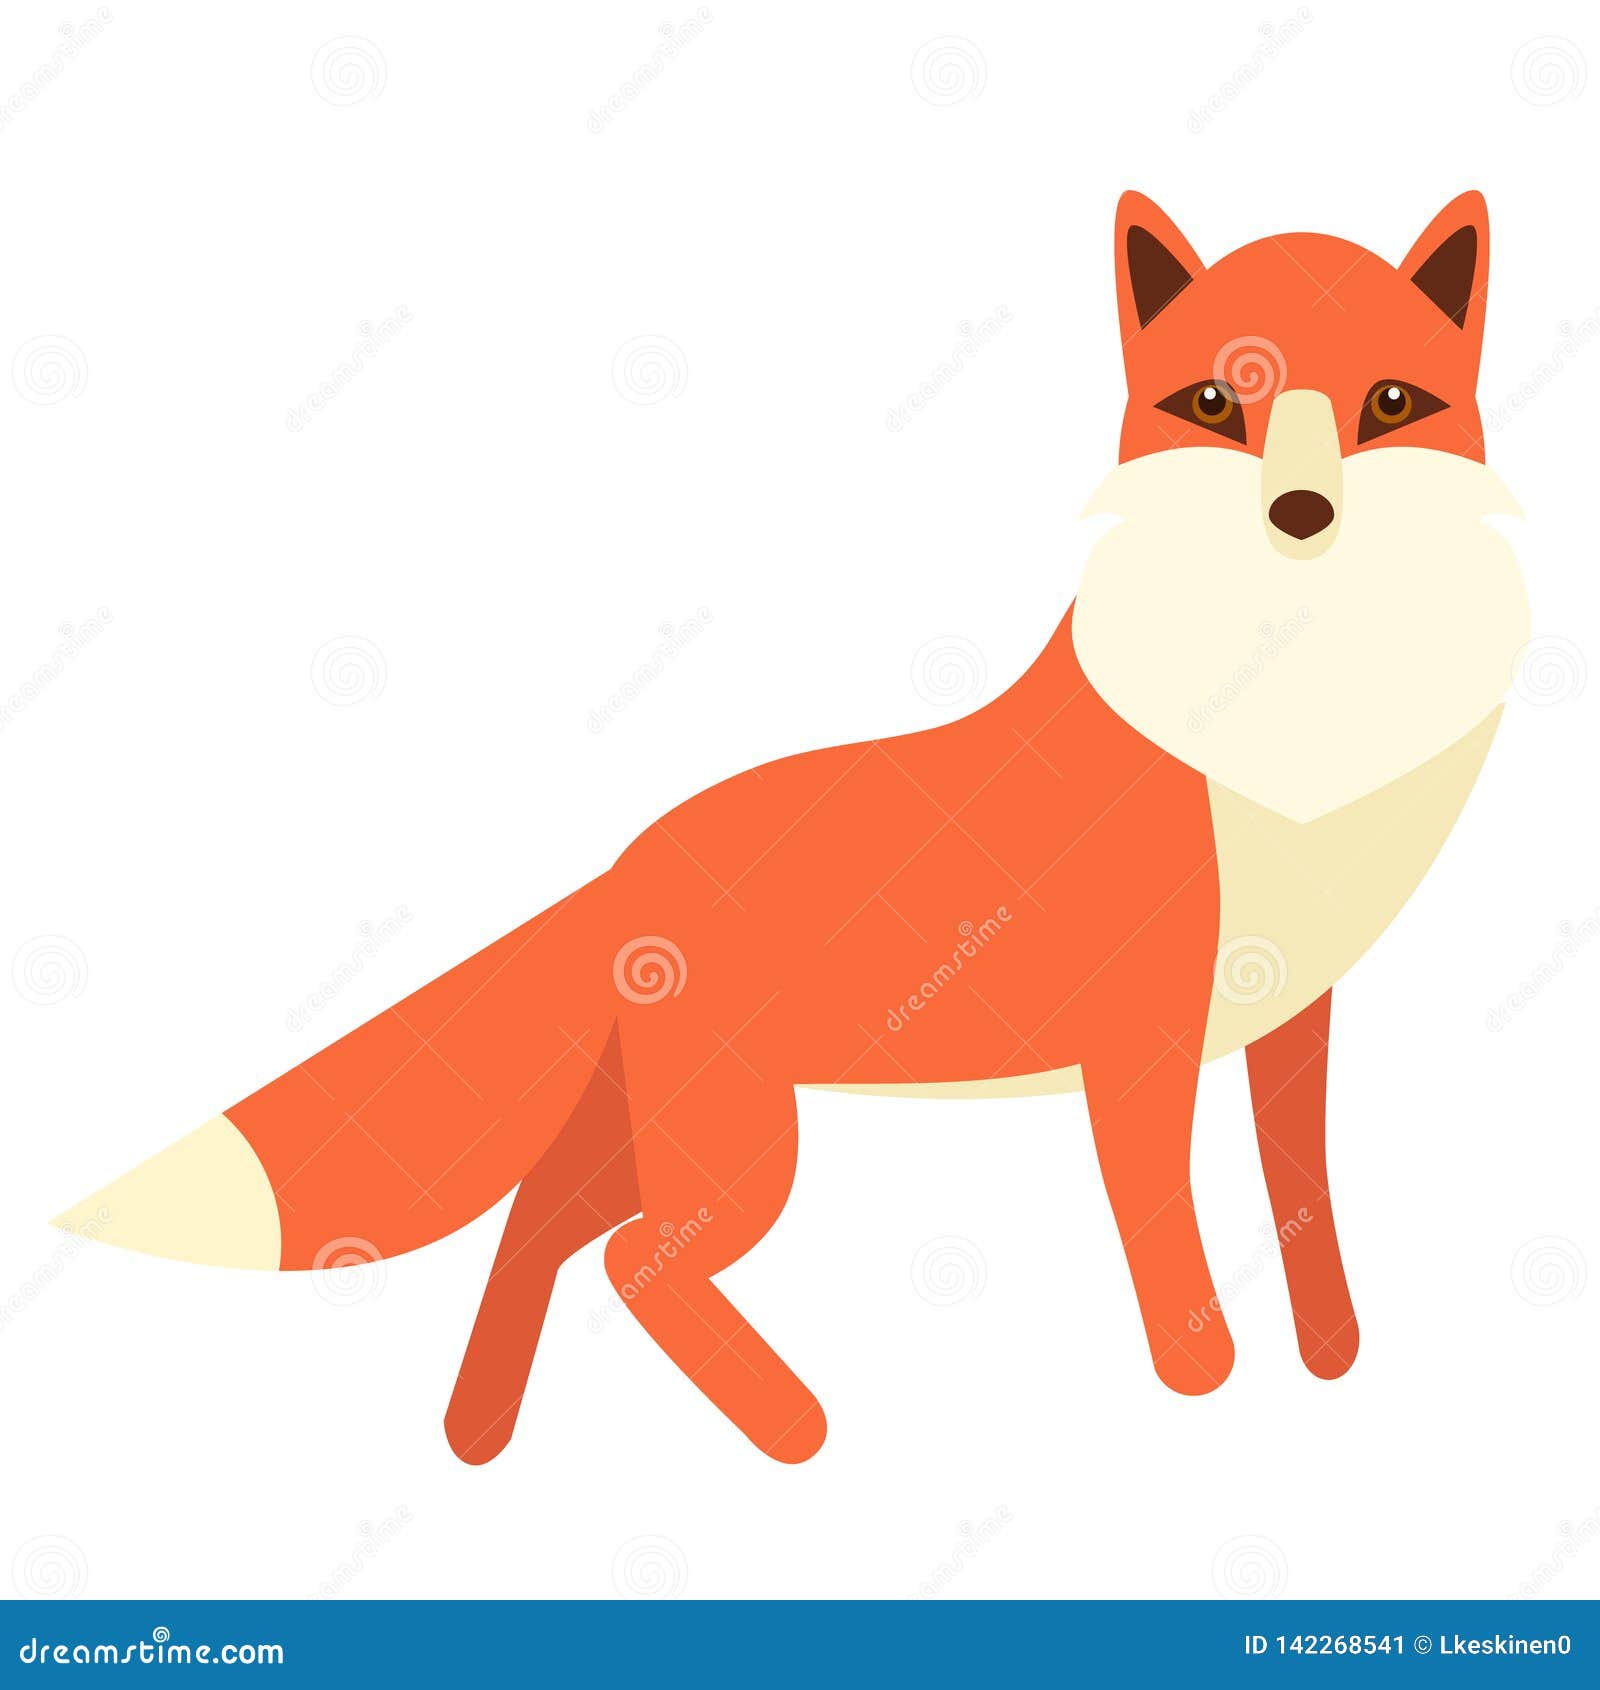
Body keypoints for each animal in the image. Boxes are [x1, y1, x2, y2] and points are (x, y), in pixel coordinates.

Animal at [54, 191, 1527, 1468]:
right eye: (1217, 405)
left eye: (1388, 405)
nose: (1301, 515)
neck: (1273, 745)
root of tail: (626, 862)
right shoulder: (1141, 1044)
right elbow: (1166, 1228)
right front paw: (1201, 1377)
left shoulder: (1289, 1017)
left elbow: (1303, 1195)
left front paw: (1332, 1355)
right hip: (744, 1149)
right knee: (630, 1260)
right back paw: (794, 1427)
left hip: (654, 1133)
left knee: (541, 1226)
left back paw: (478, 1438)